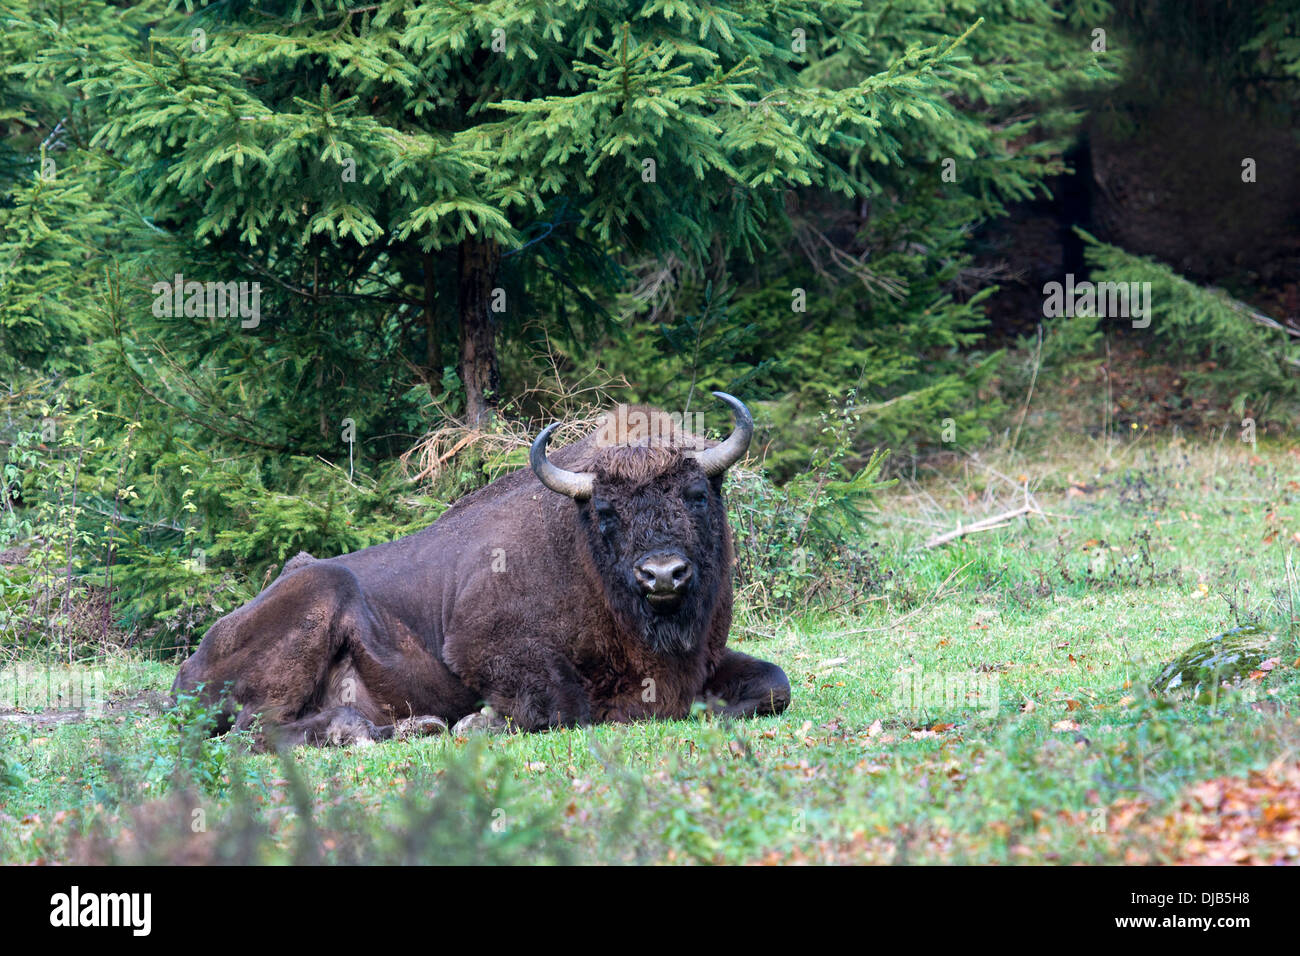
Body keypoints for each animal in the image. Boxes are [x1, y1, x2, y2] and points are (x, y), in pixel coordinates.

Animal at [172, 392, 790, 747]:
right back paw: (372, 730)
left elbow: (776, 685)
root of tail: (188, 668)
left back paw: (410, 728)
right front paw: (476, 724)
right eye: (606, 512)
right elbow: (559, 704)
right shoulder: (482, 646)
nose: (662, 574)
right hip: (317, 604)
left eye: (697, 495)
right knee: (255, 730)